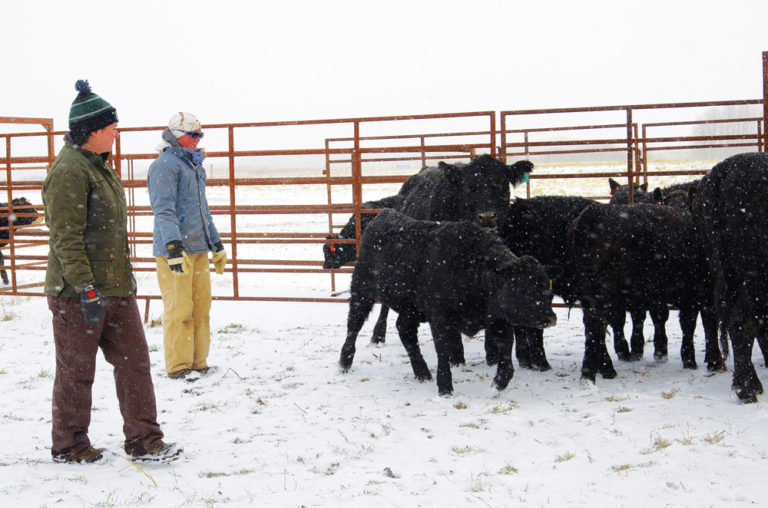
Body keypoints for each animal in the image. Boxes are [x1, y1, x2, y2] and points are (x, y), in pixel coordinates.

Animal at [339, 209, 560, 395]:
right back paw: (344, 362)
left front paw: (499, 383)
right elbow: (443, 350)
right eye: (522, 288)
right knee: (354, 325)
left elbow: (506, 353)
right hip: (362, 291)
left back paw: (422, 372)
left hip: (410, 309)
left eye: (547, 289)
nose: (551, 318)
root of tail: (383, 215)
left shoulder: (499, 319)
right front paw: (445, 386)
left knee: (405, 330)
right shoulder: (439, 317)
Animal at [568, 202, 715, 381]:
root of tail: (592, 213)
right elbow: (690, 324)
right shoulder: (695, 294)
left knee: (593, 327)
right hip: (603, 292)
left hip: (590, 294)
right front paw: (691, 361)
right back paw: (599, 371)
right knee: (596, 325)